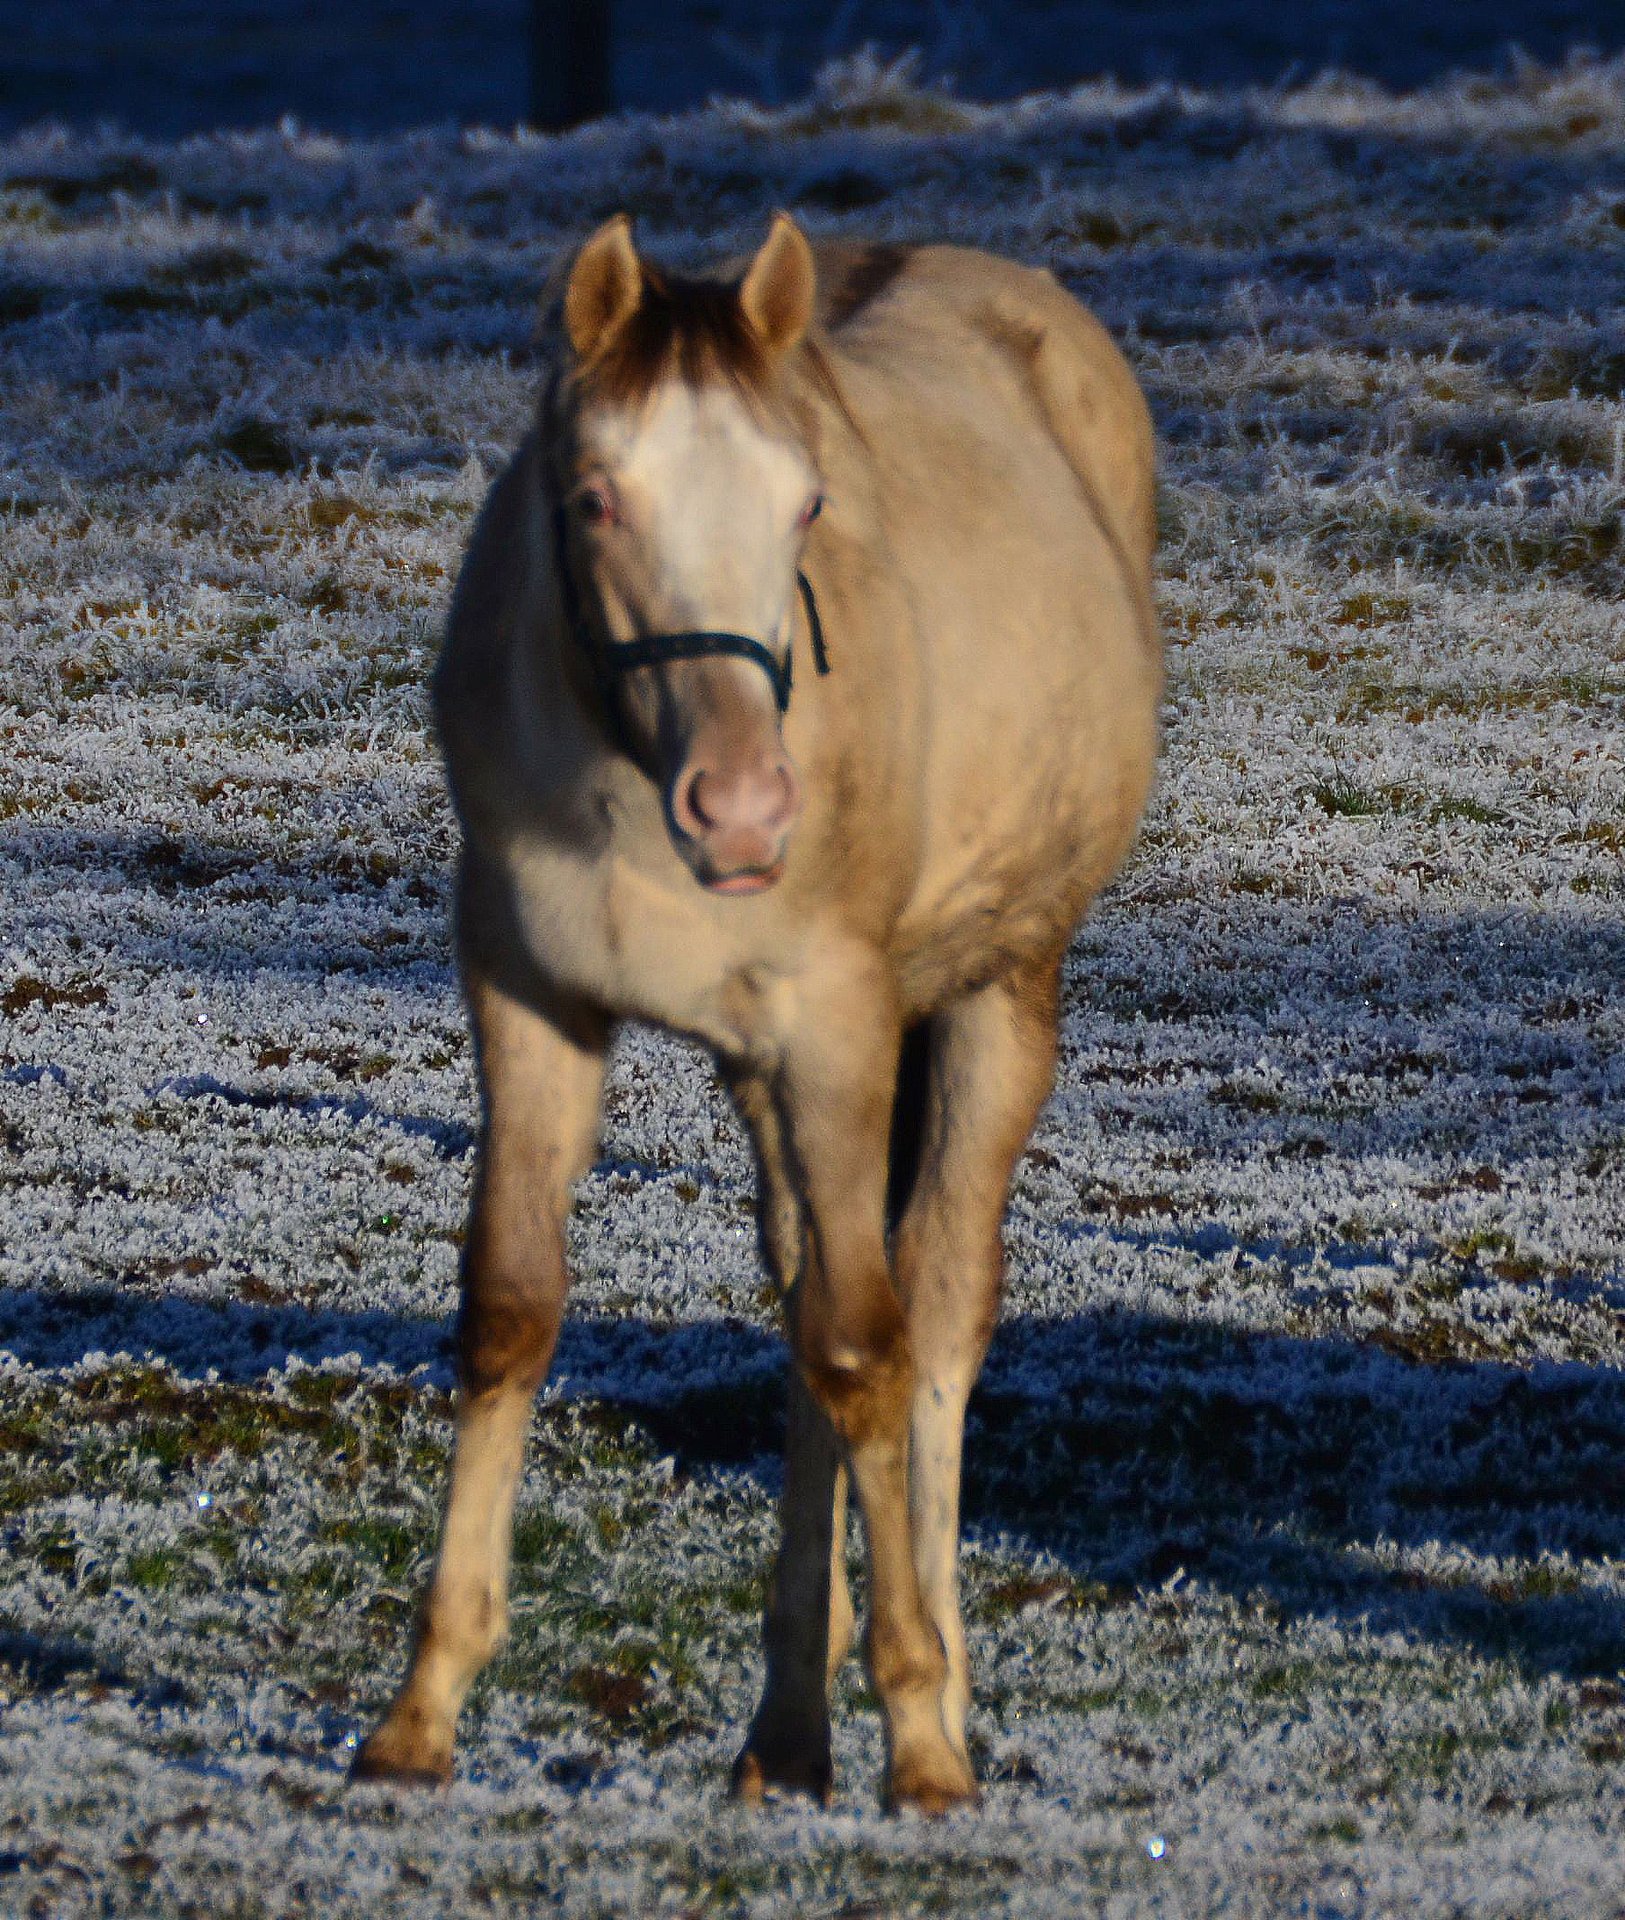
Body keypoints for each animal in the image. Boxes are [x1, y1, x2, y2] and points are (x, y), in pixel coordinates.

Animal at [354, 211, 1160, 1813]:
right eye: (595, 496)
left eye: (806, 504)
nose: (743, 809)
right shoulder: (528, 997)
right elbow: (513, 1308)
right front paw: (422, 1711)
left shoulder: (836, 1028)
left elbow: (869, 1345)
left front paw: (920, 1734)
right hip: (764, 1073)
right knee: (803, 1294)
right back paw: (785, 1728)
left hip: (995, 992)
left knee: (932, 1308)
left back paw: (934, 1686)